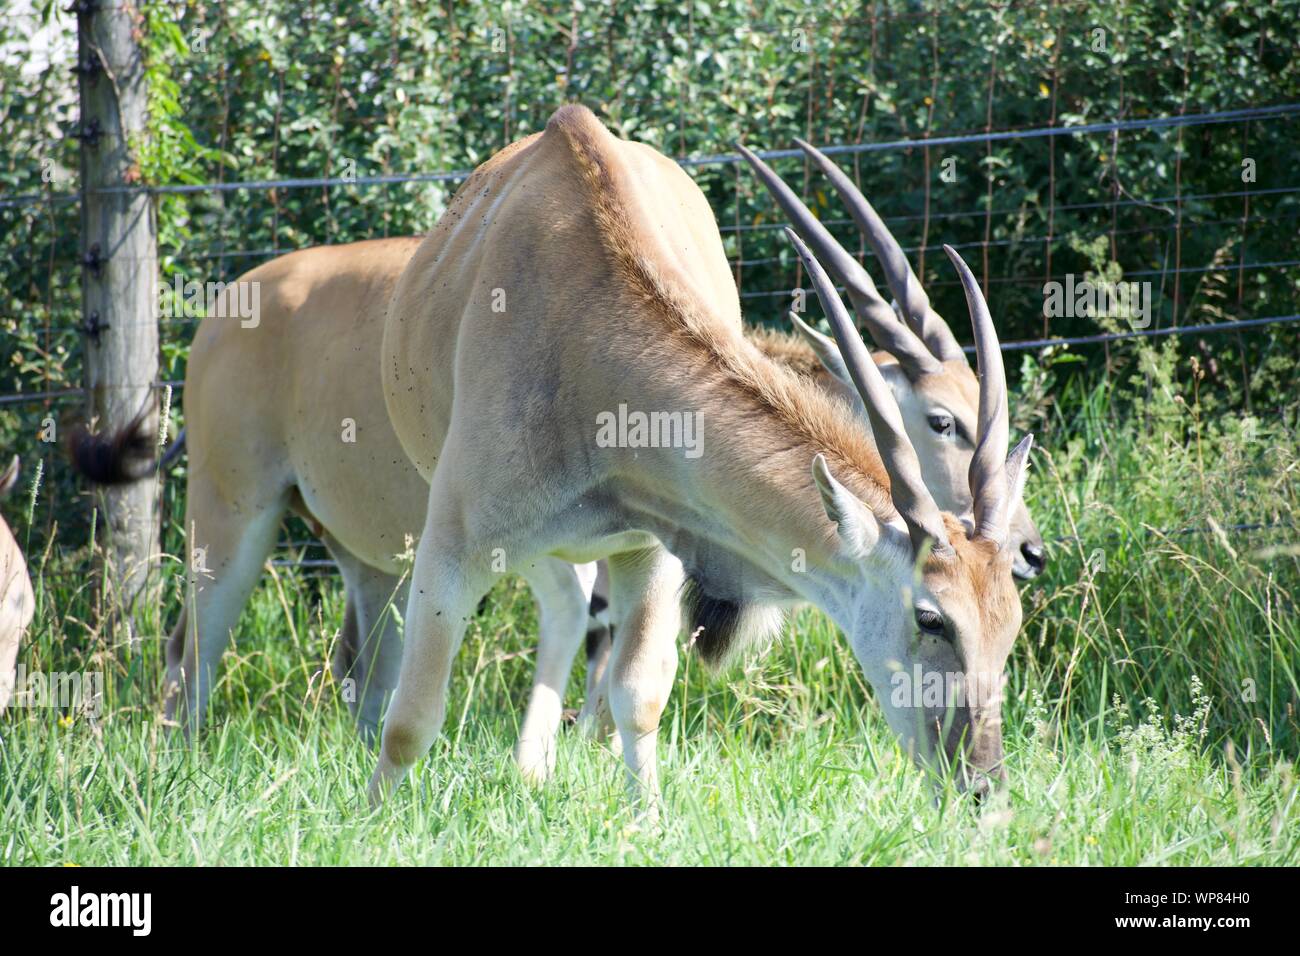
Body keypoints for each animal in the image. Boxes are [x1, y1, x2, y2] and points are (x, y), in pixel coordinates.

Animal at [368, 106, 1029, 812]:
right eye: (931, 618)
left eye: (1010, 623)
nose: (984, 788)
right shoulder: (451, 550)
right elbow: (410, 719)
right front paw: (378, 819)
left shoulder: (654, 545)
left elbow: (639, 696)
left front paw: (647, 818)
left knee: (570, 611)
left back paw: (533, 768)